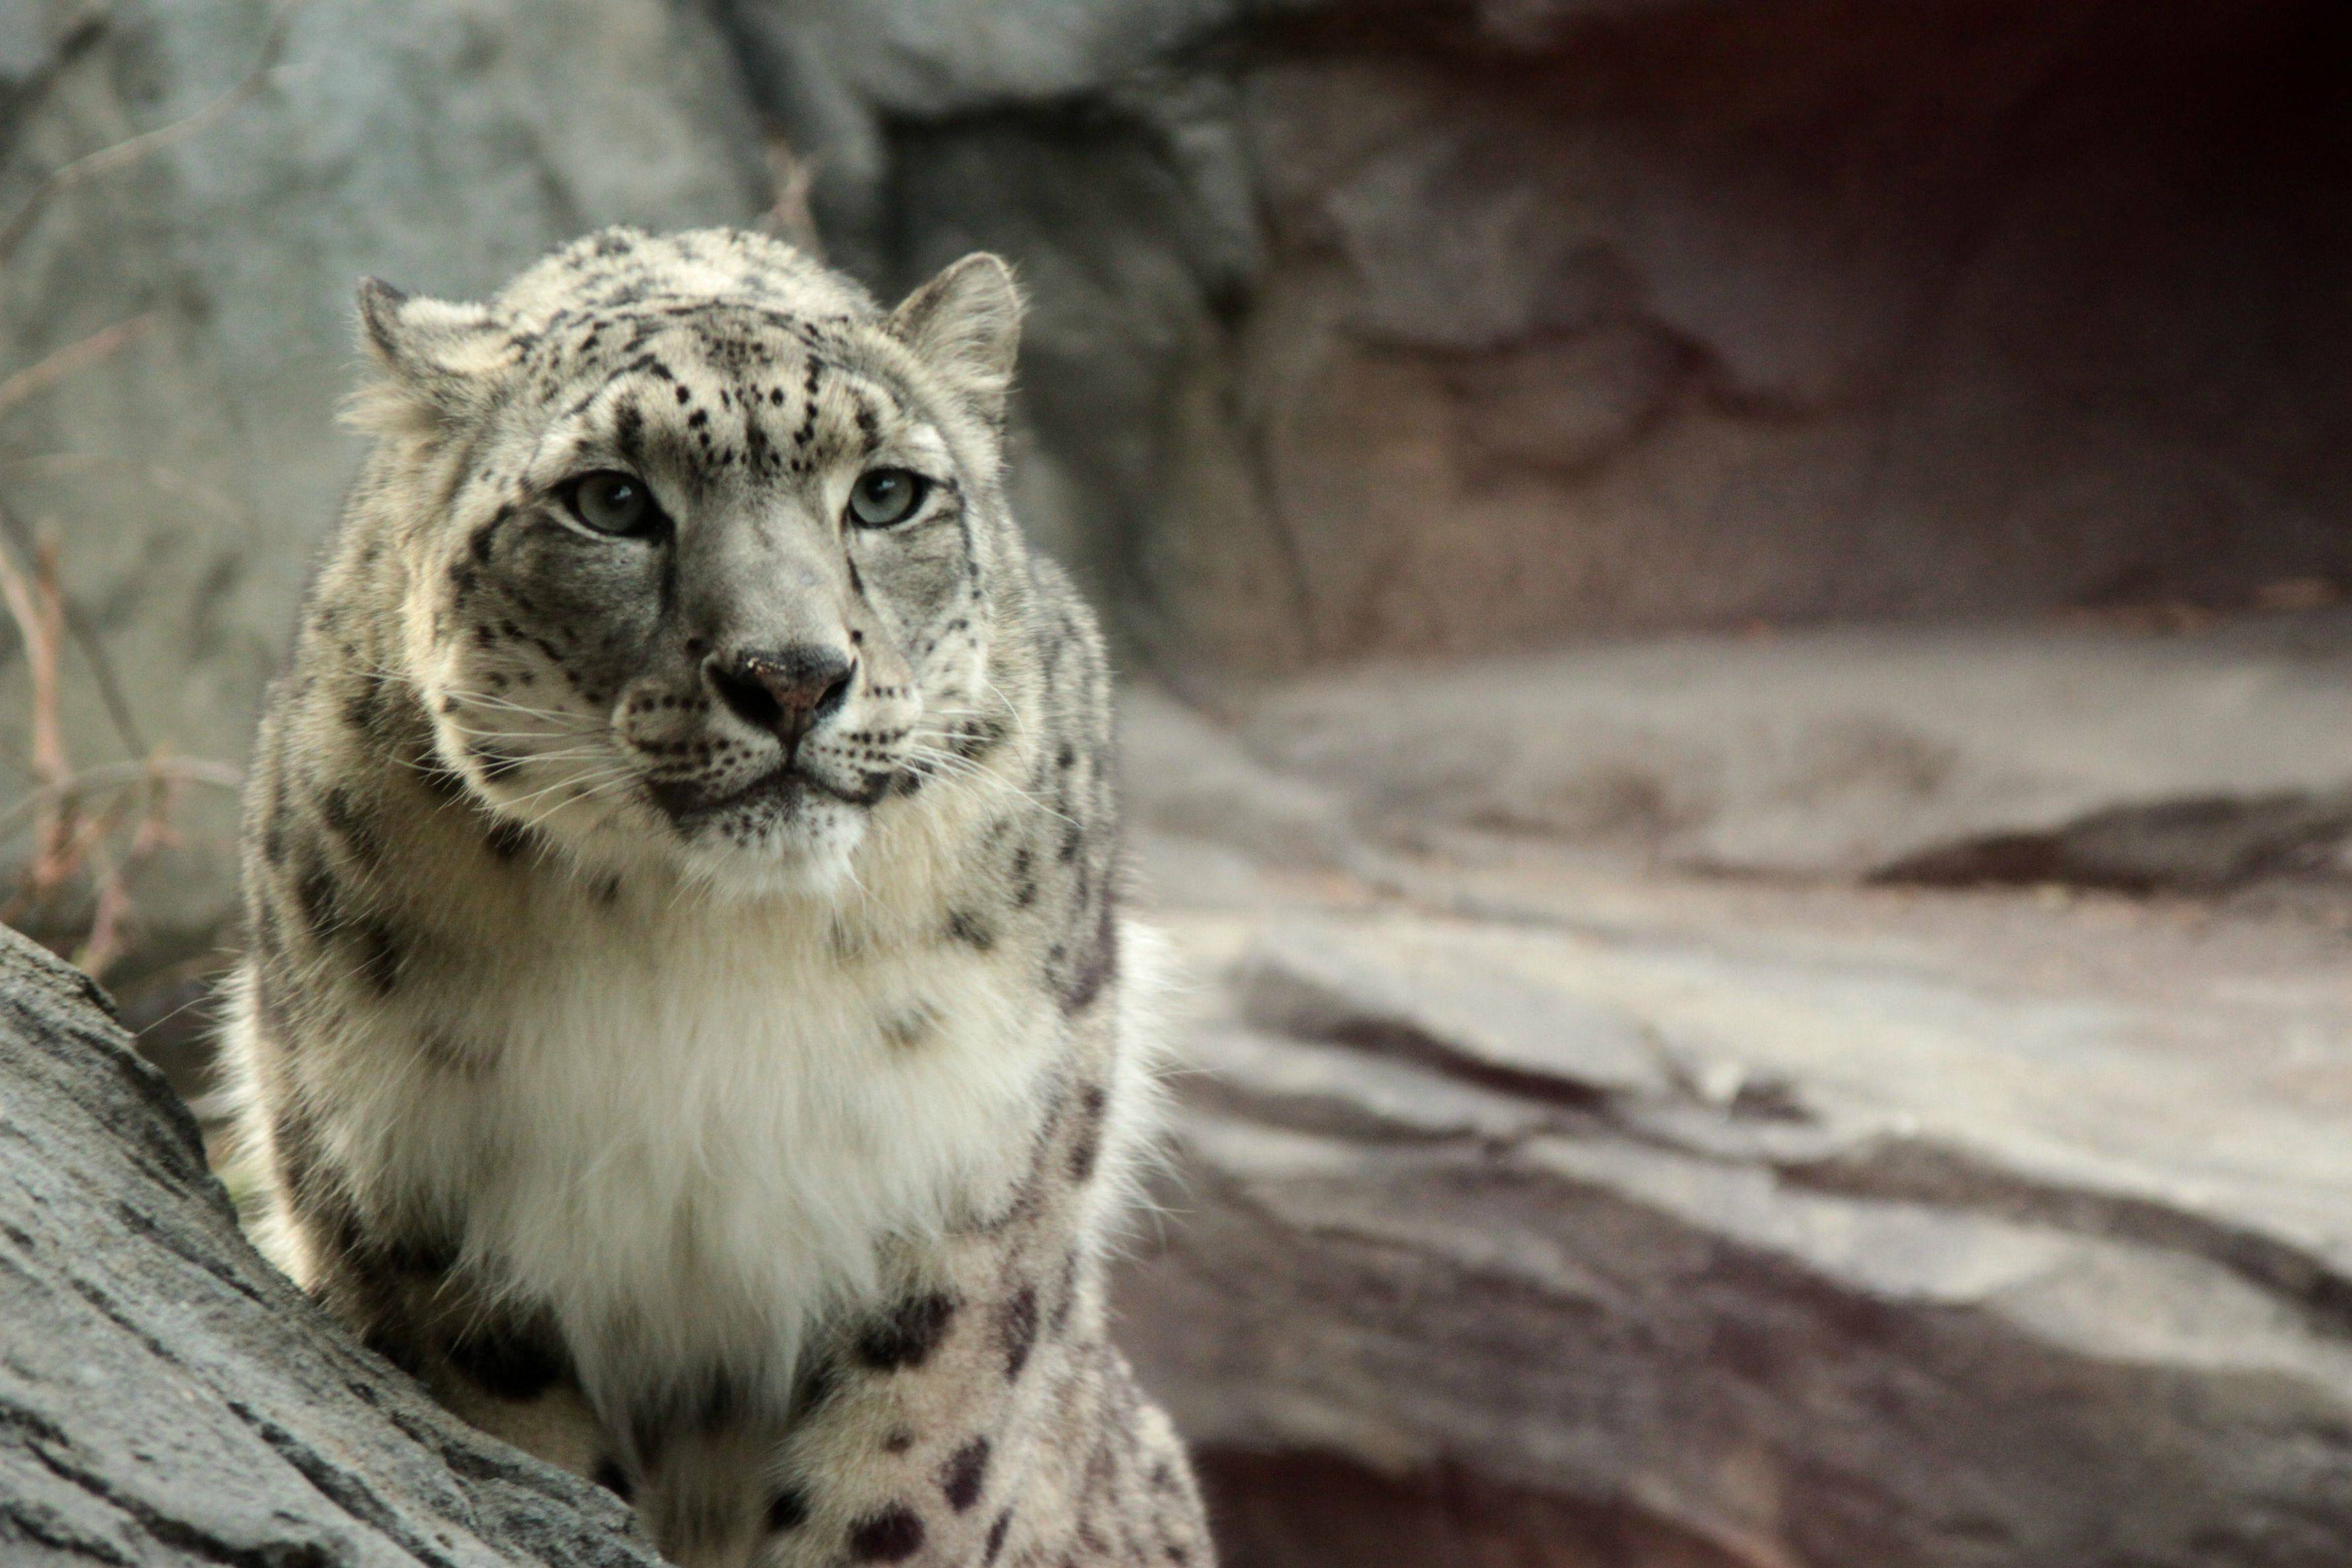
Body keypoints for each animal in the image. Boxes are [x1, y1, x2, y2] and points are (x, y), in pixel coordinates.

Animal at [219, 226, 1213, 1568]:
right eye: (611, 501)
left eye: (886, 493)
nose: (790, 677)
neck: (710, 943)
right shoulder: (414, 1189)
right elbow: (510, 1441)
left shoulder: (974, 1180)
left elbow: (902, 1481)